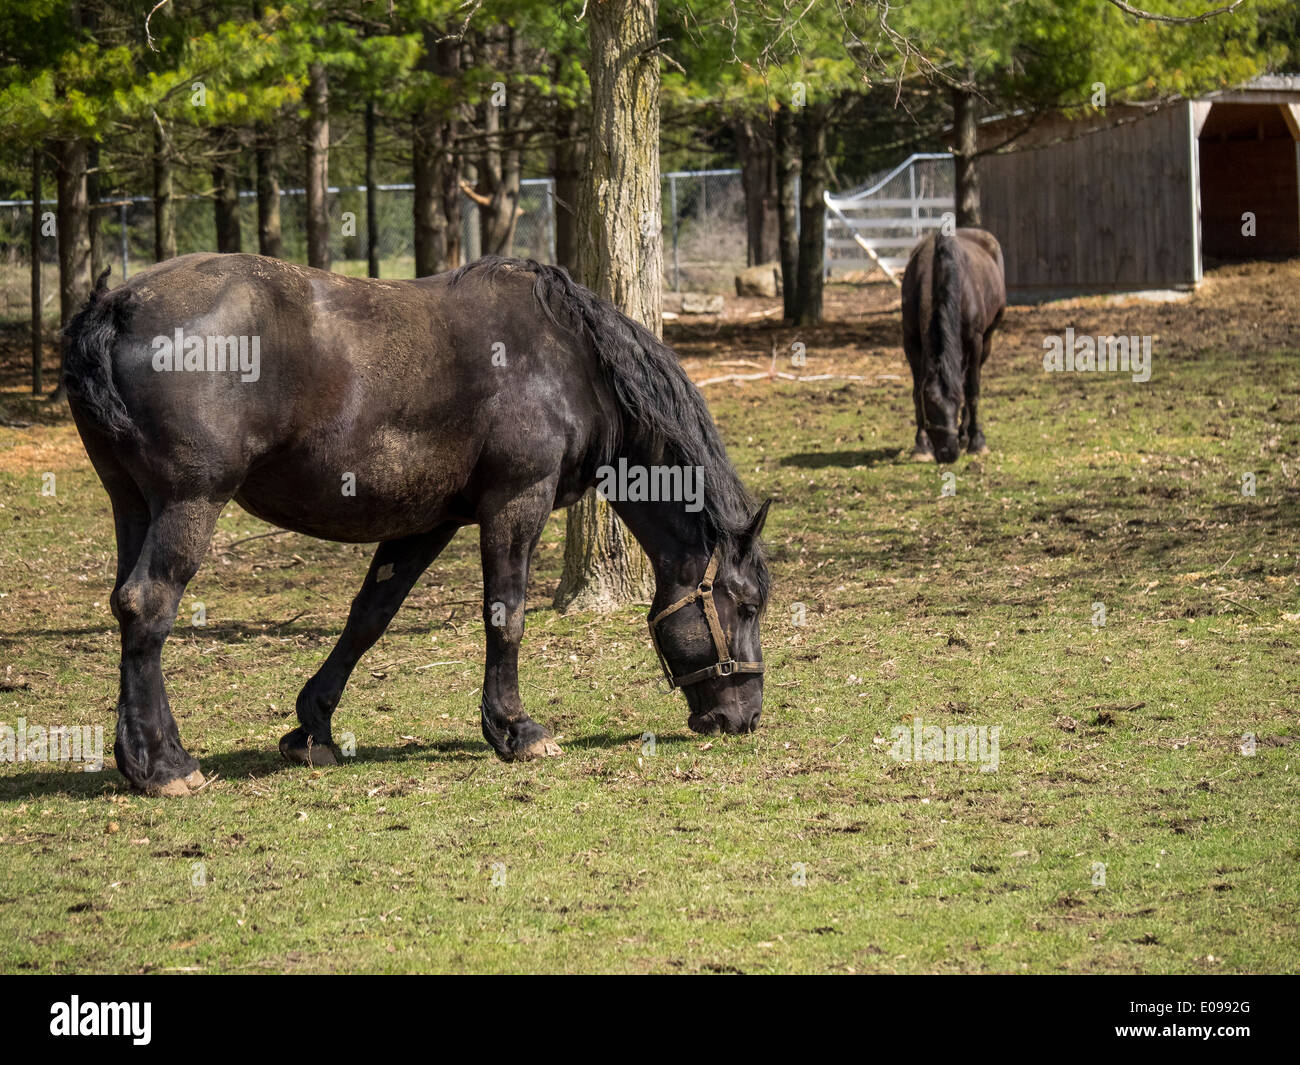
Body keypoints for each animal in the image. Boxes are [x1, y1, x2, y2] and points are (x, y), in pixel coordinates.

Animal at [61, 253, 771, 797]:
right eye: (743, 604)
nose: (744, 717)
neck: (569, 360)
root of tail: (118, 305)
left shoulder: (428, 523)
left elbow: (369, 618)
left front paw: (311, 729)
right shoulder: (516, 501)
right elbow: (507, 615)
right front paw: (515, 730)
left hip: (133, 505)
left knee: (126, 605)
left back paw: (140, 758)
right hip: (191, 503)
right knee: (149, 606)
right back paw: (165, 766)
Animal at [901, 228, 1006, 464]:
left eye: (956, 402)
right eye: (930, 403)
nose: (948, 452)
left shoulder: (975, 341)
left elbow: (972, 390)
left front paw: (977, 442)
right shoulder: (911, 342)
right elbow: (916, 392)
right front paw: (922, 446)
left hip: (986, 340)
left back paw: (966, 436)